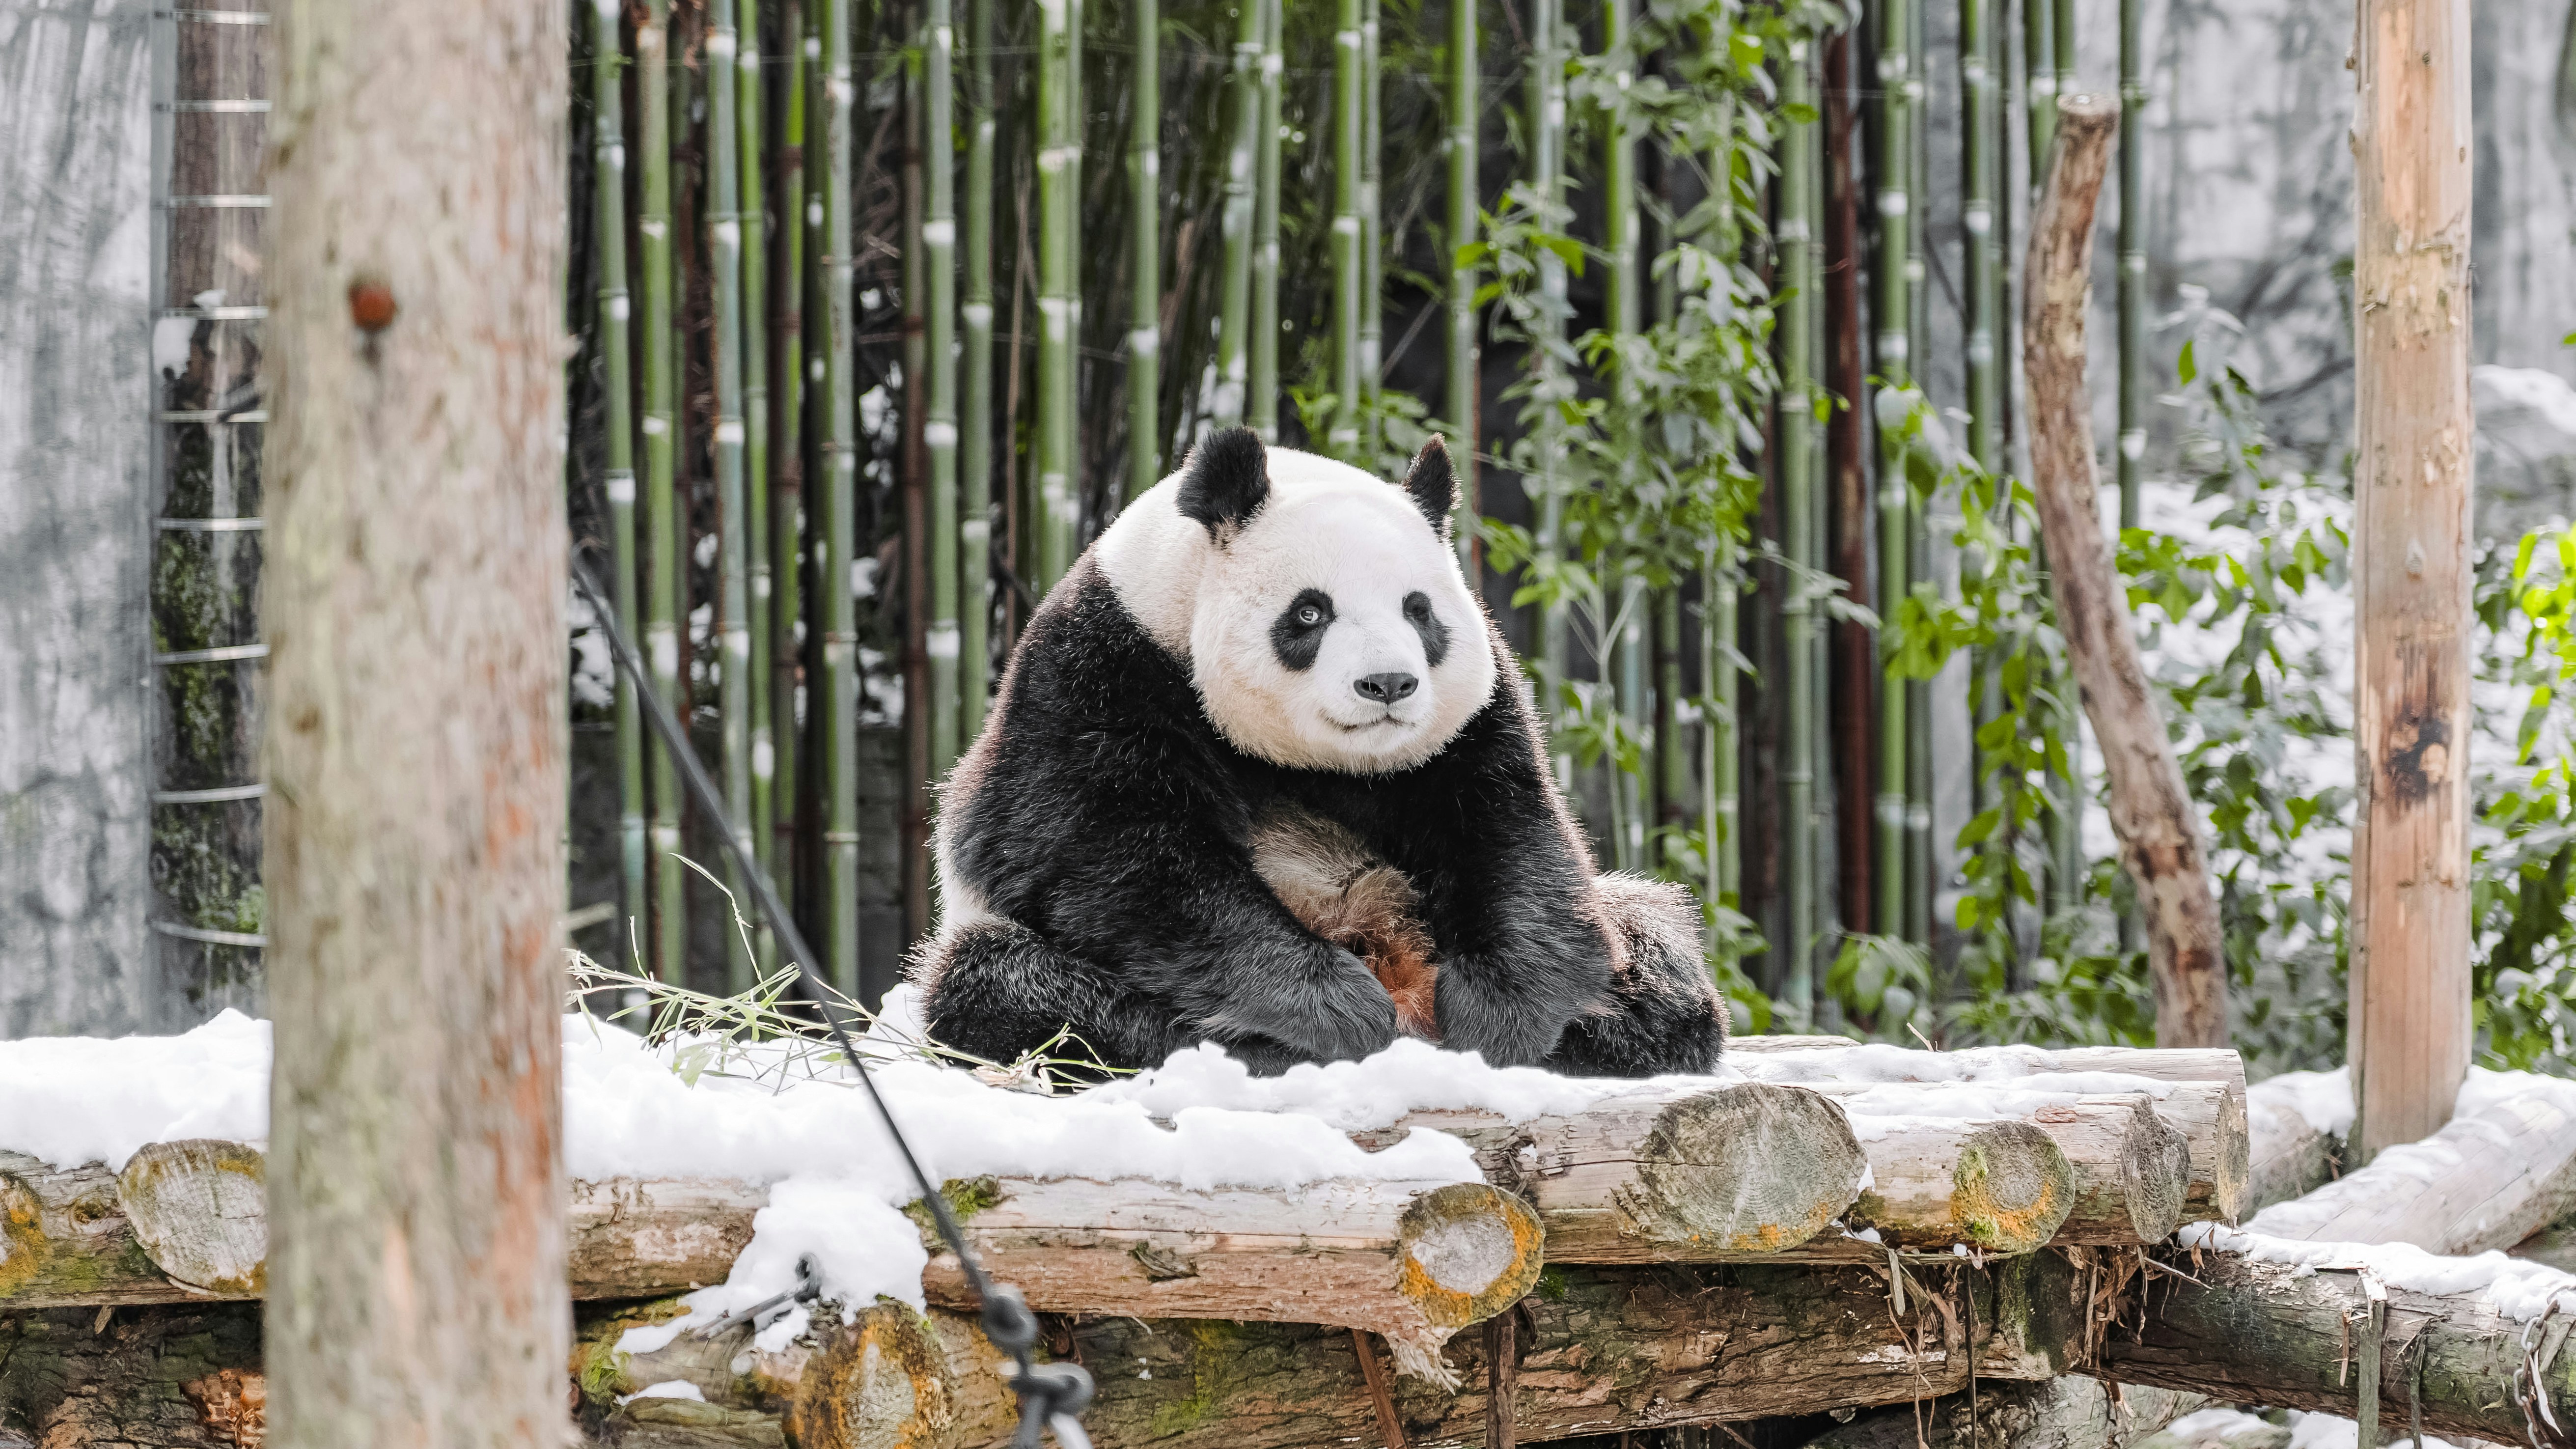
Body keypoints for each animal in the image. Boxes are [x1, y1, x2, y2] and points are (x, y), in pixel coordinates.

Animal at [908, 427, 1726, 1079]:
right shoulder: (1096, 671)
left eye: (1419, 611)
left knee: (1651, 938)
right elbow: (1114, 858)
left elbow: (1513, 836)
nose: (1388, 683)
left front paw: (1498, 1018)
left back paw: (1612, 1030)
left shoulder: (1477, 717)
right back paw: (1252, 1044)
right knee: (999, 984)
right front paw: (1331, 1009)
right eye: (1310, 612)